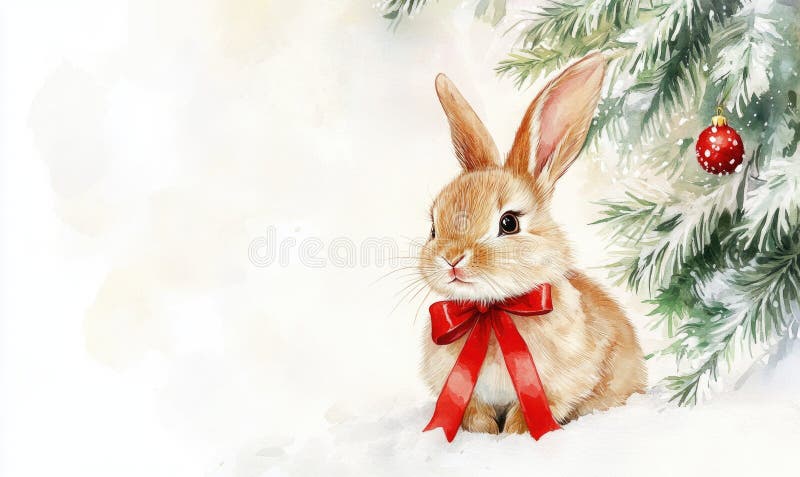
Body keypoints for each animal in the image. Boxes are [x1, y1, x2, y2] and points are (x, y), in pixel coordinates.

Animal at [418, 53, 646, 436]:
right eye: (434, 227)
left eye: (509, 223)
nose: (452, 258)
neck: (493, 313)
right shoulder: (469, 395)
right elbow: (475, 416)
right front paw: (485, 434)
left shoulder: (558, 387)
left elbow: (528, 416)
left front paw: (513, 435)